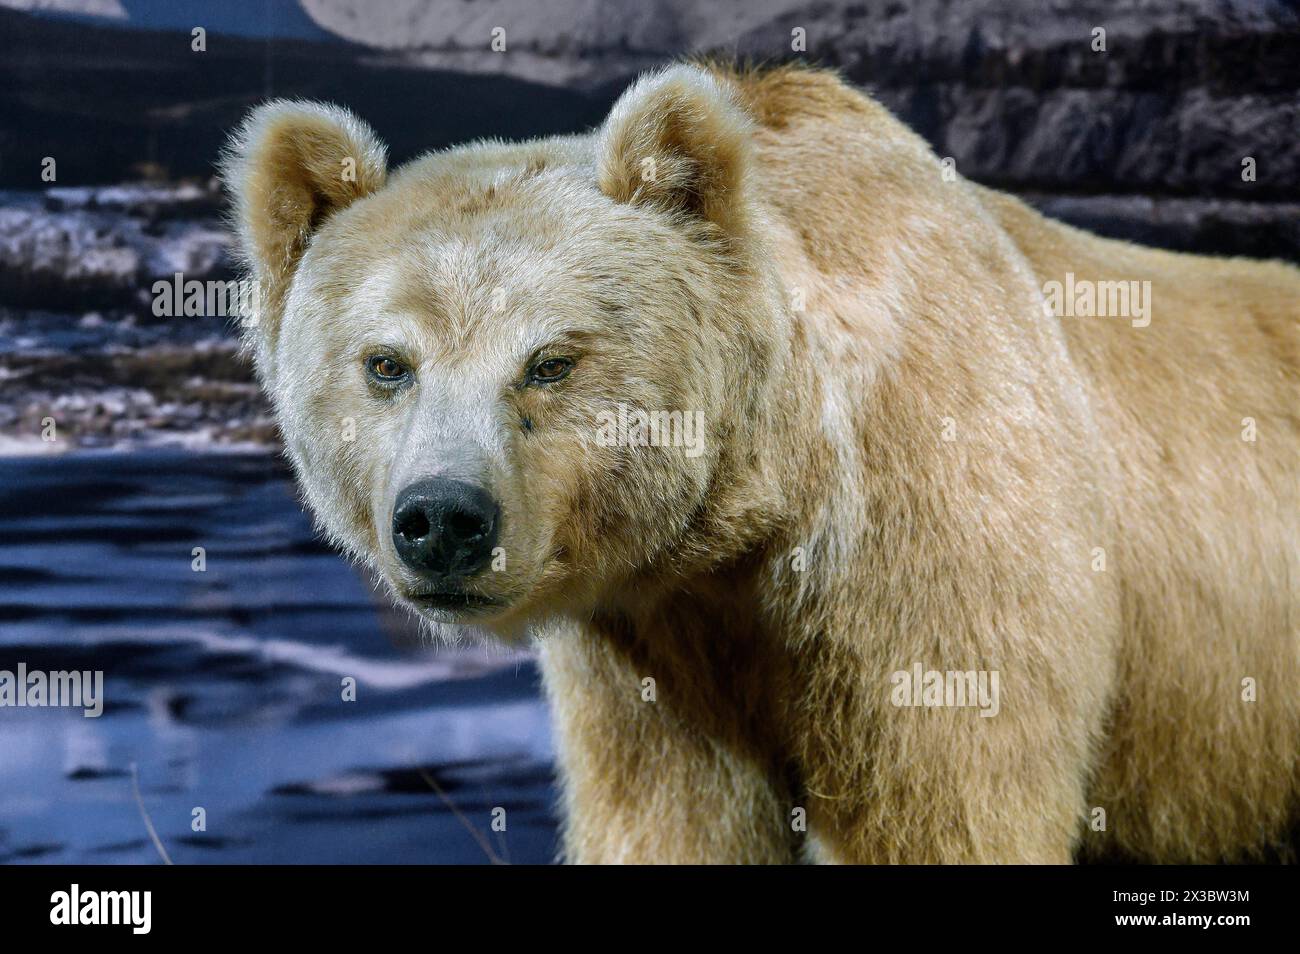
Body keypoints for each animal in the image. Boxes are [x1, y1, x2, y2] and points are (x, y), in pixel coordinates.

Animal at [221, 62, 1299, 864]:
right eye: (387, 363)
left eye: (551, 361)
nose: (443, 517)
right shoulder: (655, 661)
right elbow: (669, 822)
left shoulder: (942, 562)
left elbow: (946, 805)